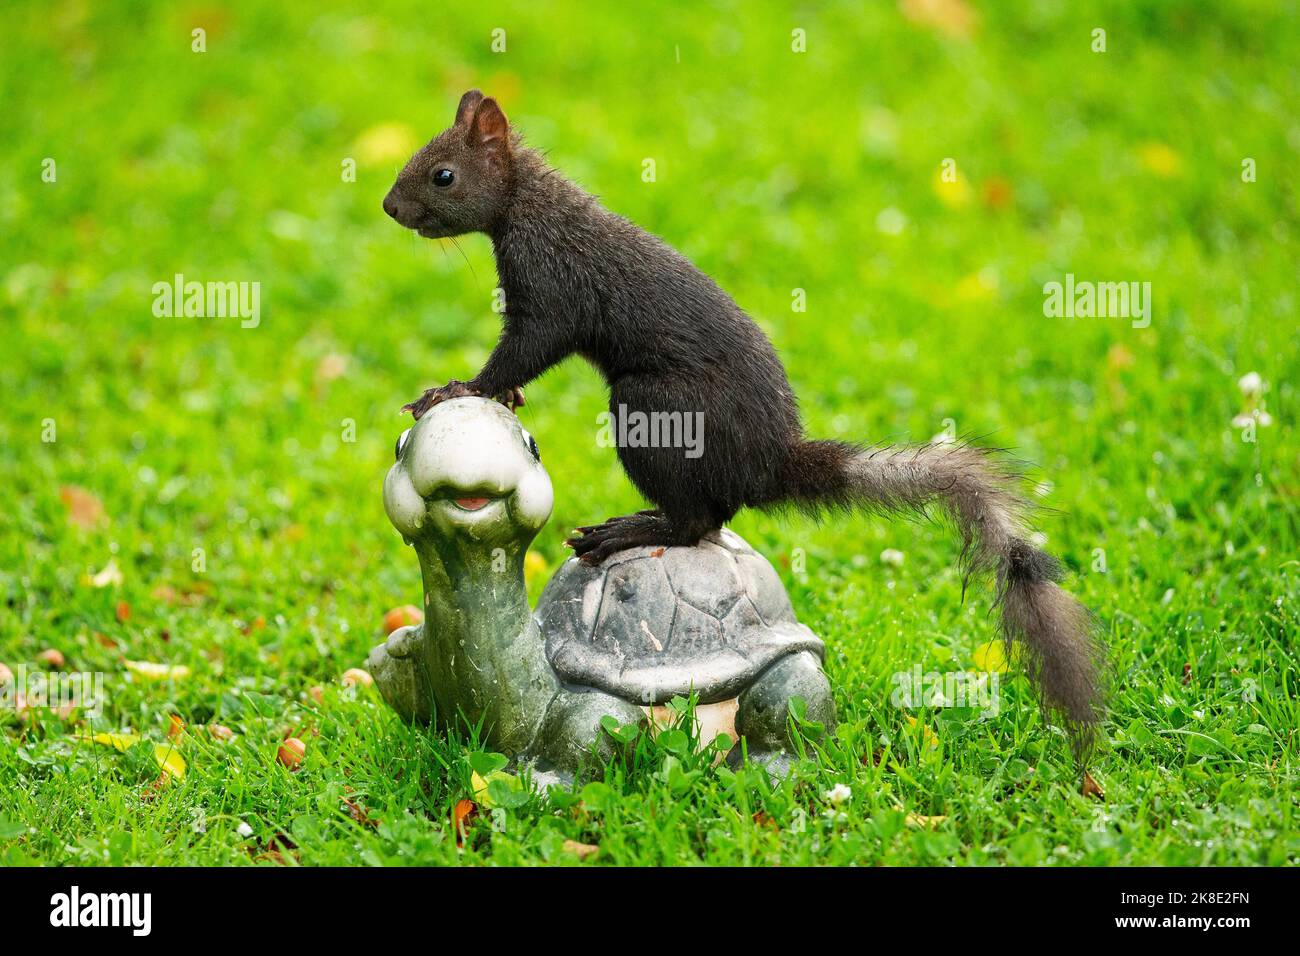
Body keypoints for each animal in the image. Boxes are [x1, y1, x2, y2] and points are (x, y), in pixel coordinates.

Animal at [383, 90, 1106, 759]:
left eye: (443, 174)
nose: (390, 208)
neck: (529, 203)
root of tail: (766, 464)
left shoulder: (552, 289)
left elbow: (524, 349)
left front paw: (461, 388)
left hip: (650, 407)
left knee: (698, 521)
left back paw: (627, 530)